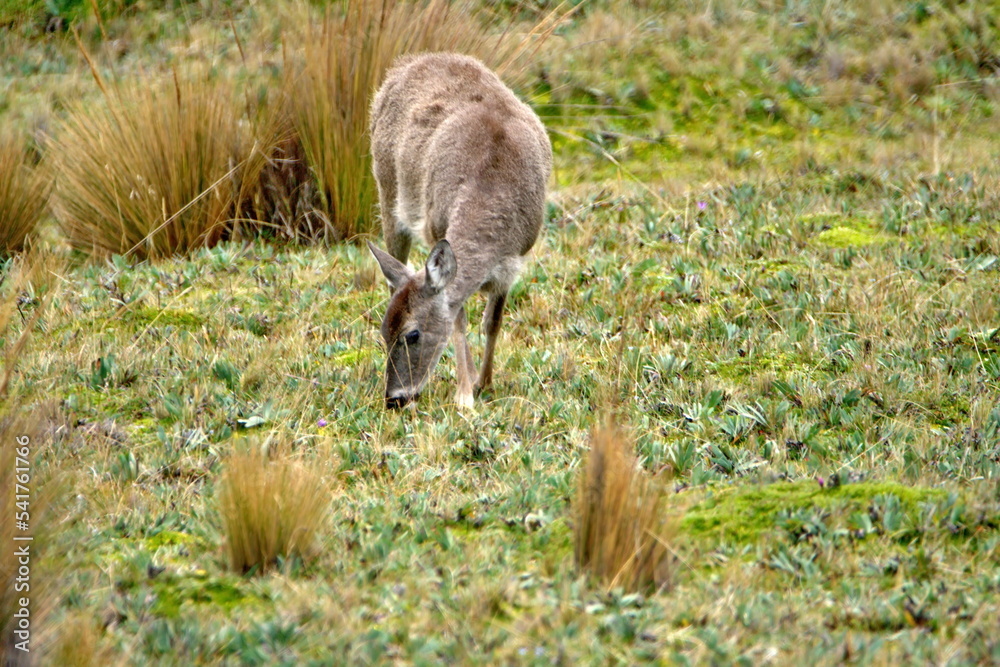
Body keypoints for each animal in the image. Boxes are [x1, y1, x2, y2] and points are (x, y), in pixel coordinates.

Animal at [367, 52, 552, 410]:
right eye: (383, 332)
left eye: (412, 334)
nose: (395, 398)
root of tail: (408, 62)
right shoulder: (438, 227)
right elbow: (458, 320)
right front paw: (464, 395)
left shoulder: (514, 261)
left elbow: (492, 322)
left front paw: (485, 382)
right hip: (386, 188)